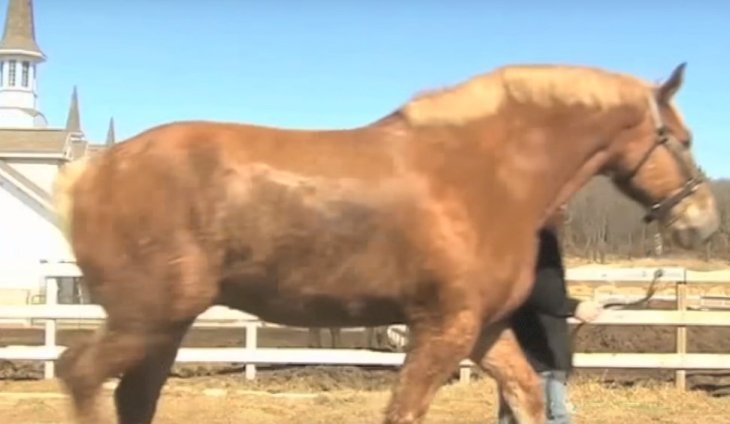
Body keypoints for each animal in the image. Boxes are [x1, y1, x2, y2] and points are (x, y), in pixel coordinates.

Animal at [50, 62, 718, 424]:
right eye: (681, 139)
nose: (703, 222)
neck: (481, 174)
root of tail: (92, 173)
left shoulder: (482, 329)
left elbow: (526, 393)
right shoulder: (441, 329)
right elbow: (404, 410)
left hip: (165, 326)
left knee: (132, 396)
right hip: (147, 318)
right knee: (79, 372)